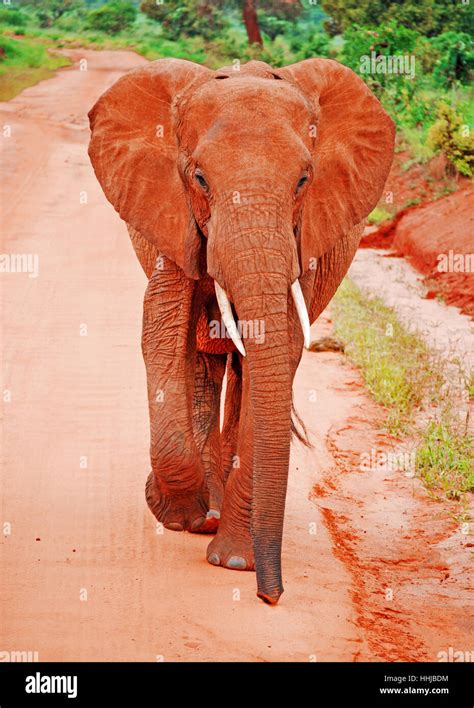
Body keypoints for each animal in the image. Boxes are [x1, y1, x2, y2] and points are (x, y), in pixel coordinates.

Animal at [88, 57, 394, 605]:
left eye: (303, 180)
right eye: (199, 178)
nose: (271, 595)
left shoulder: (303, 236)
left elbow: (279, 350)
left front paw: (233, 561)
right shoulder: (172, 215)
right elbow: (161, 330)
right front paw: (175, 510)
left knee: (244, 366)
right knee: (204, 360)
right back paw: (203, 513)